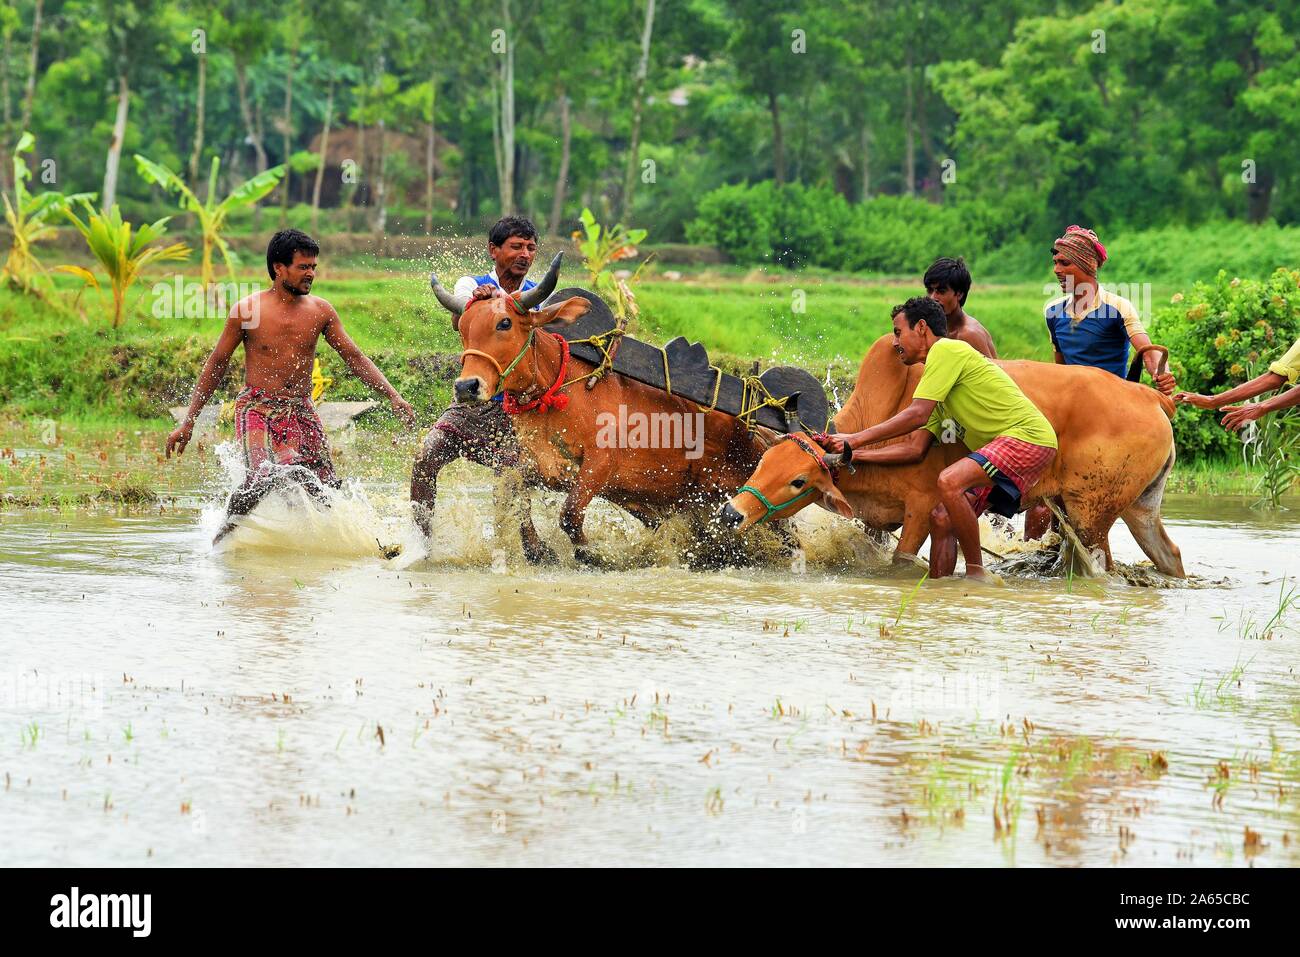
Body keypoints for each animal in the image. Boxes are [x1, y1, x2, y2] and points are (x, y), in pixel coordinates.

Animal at [425, 258, 764, 565]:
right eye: (463, 328)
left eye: (504, 323)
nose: (466, 386)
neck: (558, 396)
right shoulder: (533, 464)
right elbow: (512, 498)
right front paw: (539, 551)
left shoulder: (600, 464)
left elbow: (570, 514)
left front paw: (592, 553)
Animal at [719, 334, 1185, 578]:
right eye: (762, 464)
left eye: (798, 480)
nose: (730, 514)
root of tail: (1151, 397)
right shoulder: (876, 517)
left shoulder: (920, 505)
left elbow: (903, 559)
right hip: (1140, 509)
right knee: (1169, 554)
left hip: (1089, 514)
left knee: (1099, 563)